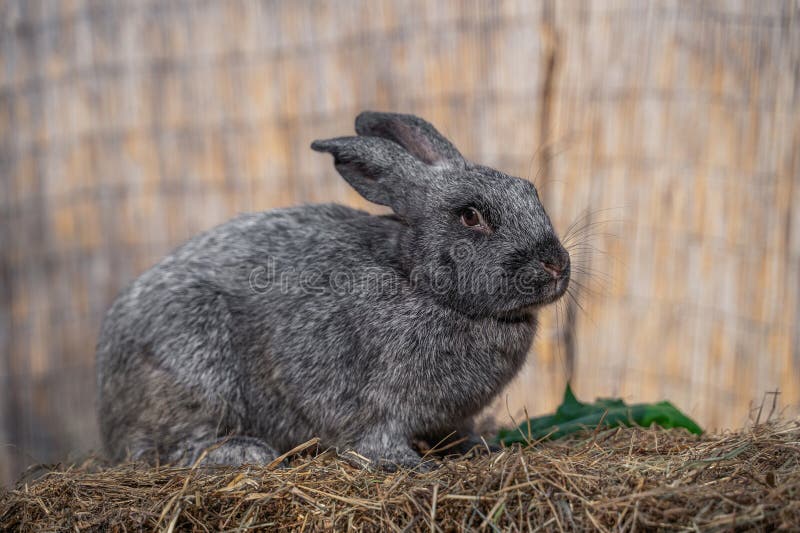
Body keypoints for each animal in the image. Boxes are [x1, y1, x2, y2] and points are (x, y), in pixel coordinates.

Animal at [96, 111, 571, 470]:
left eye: (530, 191)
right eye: (471, 216)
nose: (556, 265)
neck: (418, 280)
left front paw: (480, 447)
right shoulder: (367, 399)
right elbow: (374, 436)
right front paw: (410, 464)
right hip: (196, 370)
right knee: (176, 445)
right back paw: (245, 453)